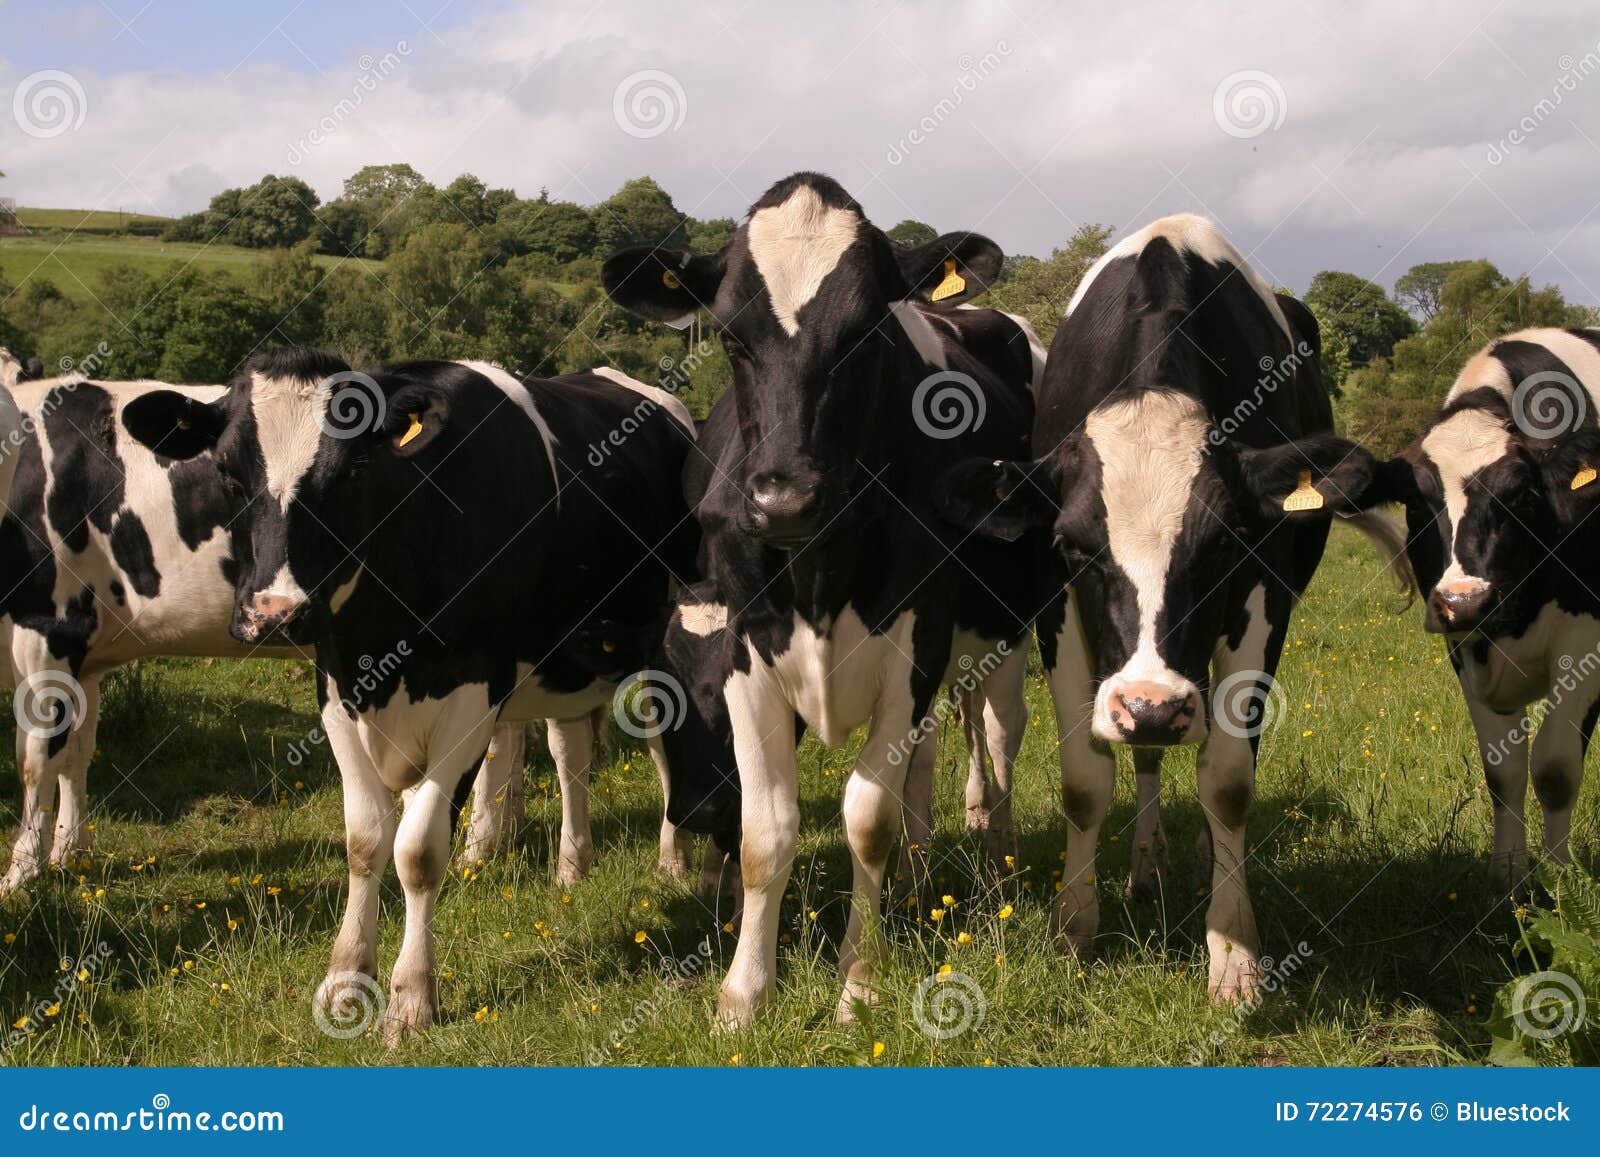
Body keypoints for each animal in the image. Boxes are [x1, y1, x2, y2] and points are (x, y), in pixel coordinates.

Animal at [121, 349, 699, 1042]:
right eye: (229, 475)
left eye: (353, 471)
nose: (276, 613)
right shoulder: (336, 689)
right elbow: (366, 840)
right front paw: (346, 981)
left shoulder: (475, 696)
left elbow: (418, 850)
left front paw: (411, 1000)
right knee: (570, 754)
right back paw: (572, 865)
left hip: (661, 638)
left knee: (664, 744)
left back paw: (673, 858)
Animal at [602, 172, 1037, 1026]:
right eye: (731, 337)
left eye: (867, 334)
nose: (785, 497)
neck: (819, 574)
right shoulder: (748, 649)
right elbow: (766, 830)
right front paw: (743, 992)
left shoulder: (915, 646)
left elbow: (867, 817)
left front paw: (858, 984)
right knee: (926, 763)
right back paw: (917, 880)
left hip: (1003, 628)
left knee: (1000, 737)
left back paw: (996, 862)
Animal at [939, 214, 1411, 1002]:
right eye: (1073, 545)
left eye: (1223, 543)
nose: (1152, 706)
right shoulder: (1061, 612)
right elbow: (1085, 780)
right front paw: (1073, 928)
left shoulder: (1262, 599)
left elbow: (1227, 782)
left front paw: (1235, 954)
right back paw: (1145, 859)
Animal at [1358, 328, 1600, 895]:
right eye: (1416, 503)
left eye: (1522, 494)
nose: (1465, 600)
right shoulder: (1466, 647)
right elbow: (1503, 771)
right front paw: (1508, 877)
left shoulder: (1585, 639)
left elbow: (1556, 768)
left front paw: (1560, 879)